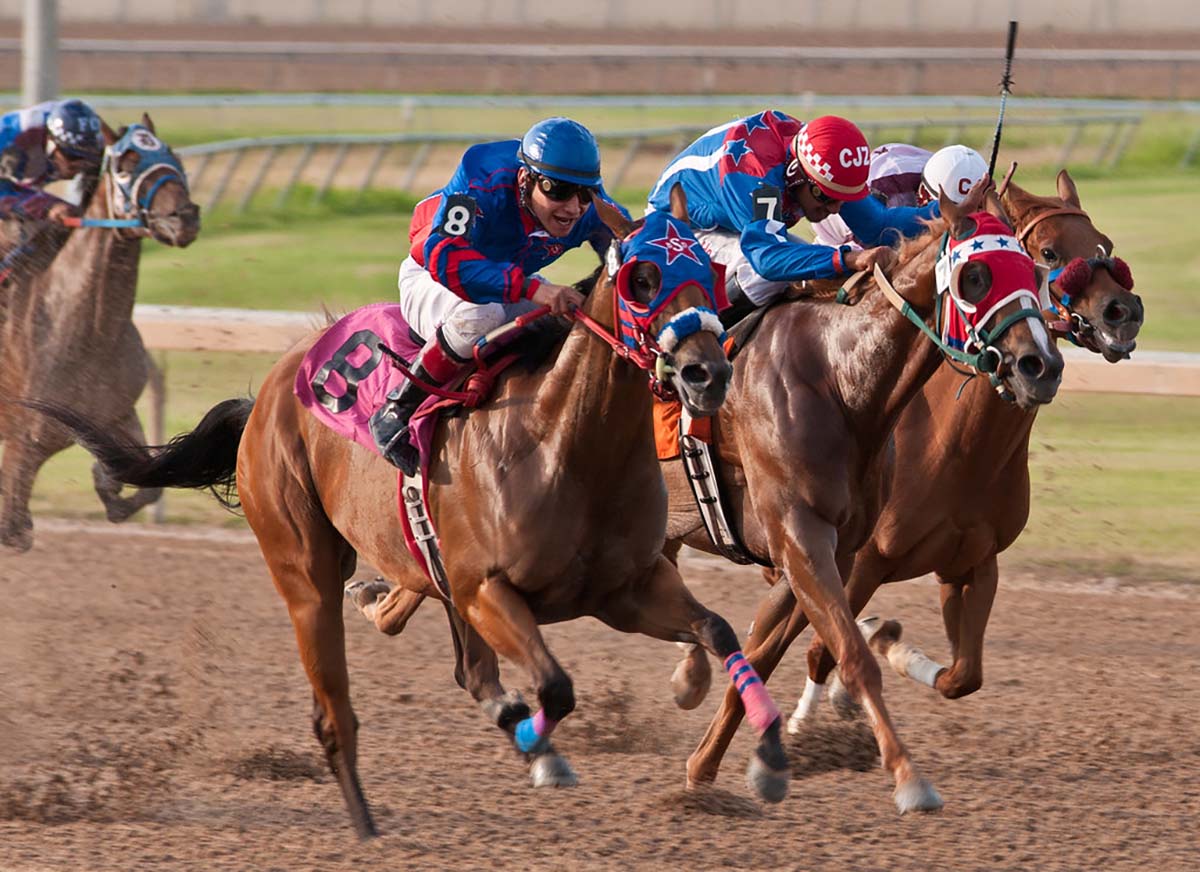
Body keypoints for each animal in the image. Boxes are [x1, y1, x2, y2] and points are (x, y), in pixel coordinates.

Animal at [0, 115, 199, 552]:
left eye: (174, 156)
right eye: (124, 164)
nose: (185, 217)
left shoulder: (116, 413)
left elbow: (148, 485)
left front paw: (108, 485)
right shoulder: (25, 441)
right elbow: (14, 529)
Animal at [31, 188, 793, 839]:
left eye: (706, 271)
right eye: (641, 278)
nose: (706, 373)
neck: (564, 445)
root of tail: (269, 392)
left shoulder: (625, 589)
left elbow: (721, 632)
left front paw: (769, 759)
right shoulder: (488, 590)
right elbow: (555, 685)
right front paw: (538, 747)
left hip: (435, 575)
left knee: (472, 672)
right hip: (305, 569)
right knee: (335, 708)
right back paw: (367, 824)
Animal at [767, 169, 1143, 726]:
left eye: (1107, 246)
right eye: (1048, 253)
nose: (1124, 311)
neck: (961, 448)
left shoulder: (971, 560)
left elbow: (962, 677)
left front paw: (893, 649)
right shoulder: (862, 560)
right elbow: (823, 645)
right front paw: (801, 719)